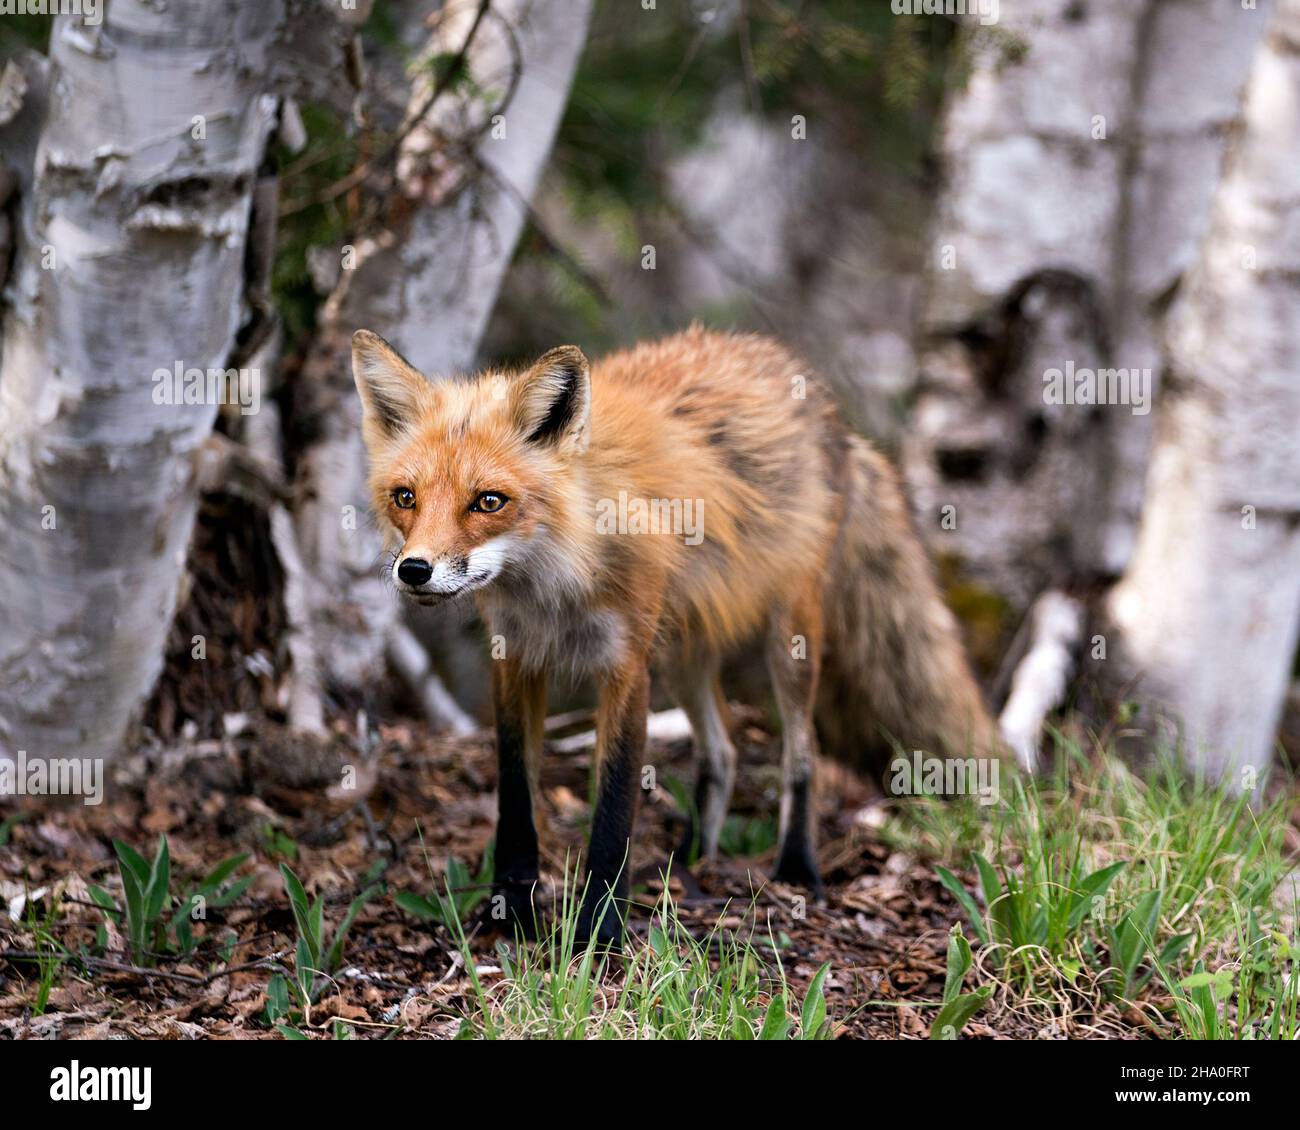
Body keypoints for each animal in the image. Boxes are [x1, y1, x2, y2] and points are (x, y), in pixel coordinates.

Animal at [352, 325, 999, 946]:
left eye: (489, 502)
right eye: (405, 497)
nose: (414, 570)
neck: (557, 580)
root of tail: (824, 400)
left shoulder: (626, 665)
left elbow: (614, 808)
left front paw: (600, 933)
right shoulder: (515, 660)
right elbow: (515, 800)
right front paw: (509, 915)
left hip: (787, 637)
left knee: (800, 751)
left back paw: (796, 867)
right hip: (685, 649)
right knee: (724, 750)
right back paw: (688, 863)